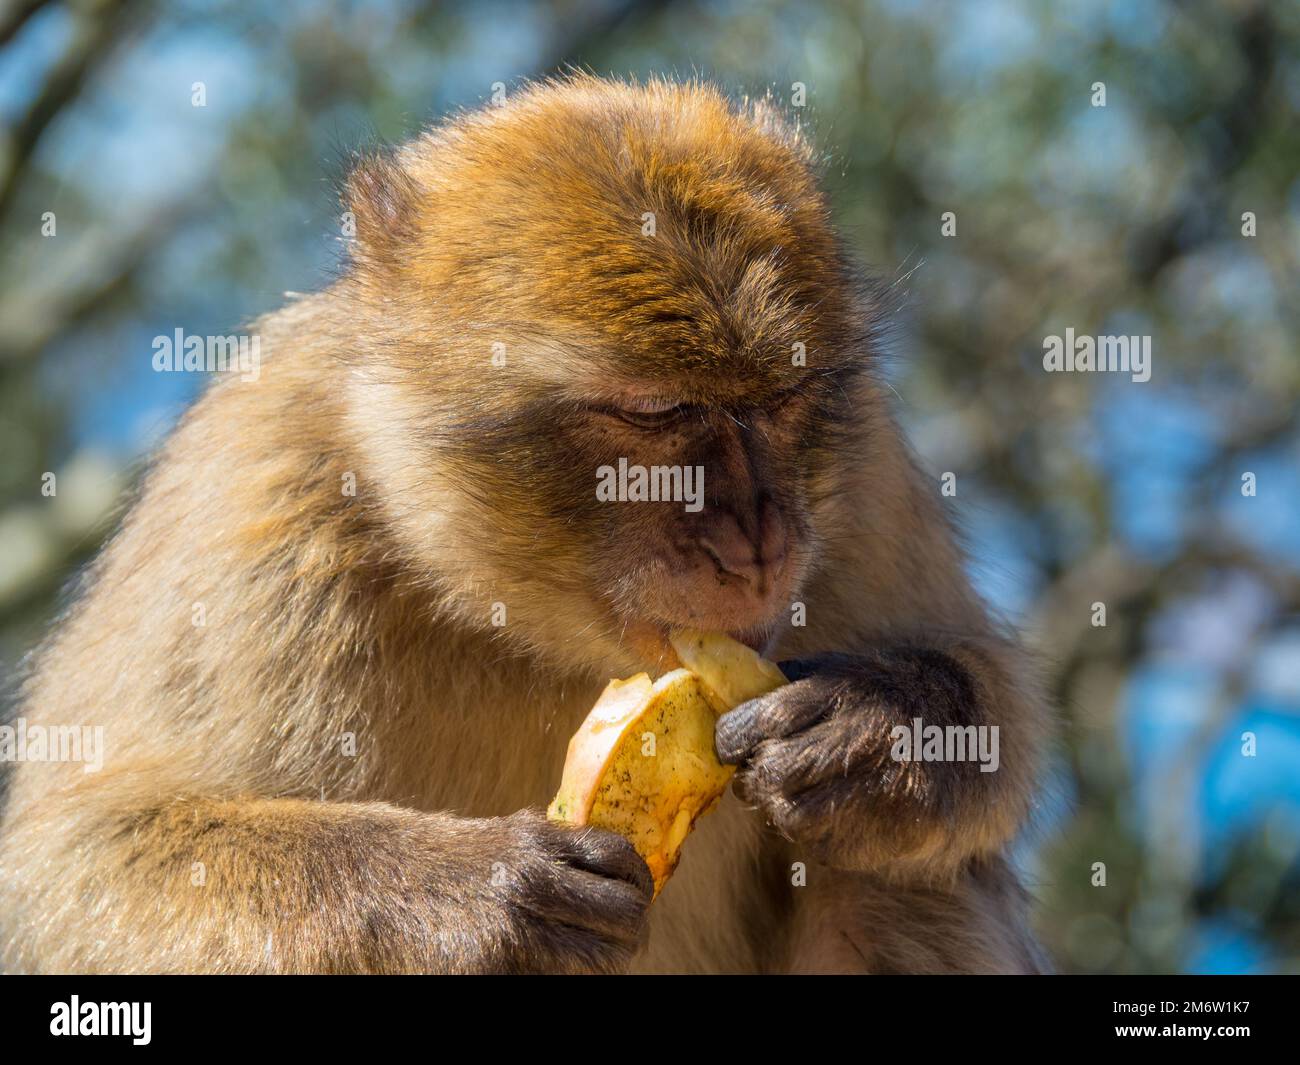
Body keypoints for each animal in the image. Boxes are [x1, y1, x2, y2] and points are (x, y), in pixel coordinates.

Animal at [0, 75, 1049, 974]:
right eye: (657, 415)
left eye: (784, 398)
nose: (759, 538)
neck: (520, 617)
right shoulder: (259, 491)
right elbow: (66, 864)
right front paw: (475, 895)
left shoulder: (865, 477)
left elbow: (1001, 714)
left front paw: (880, 727)